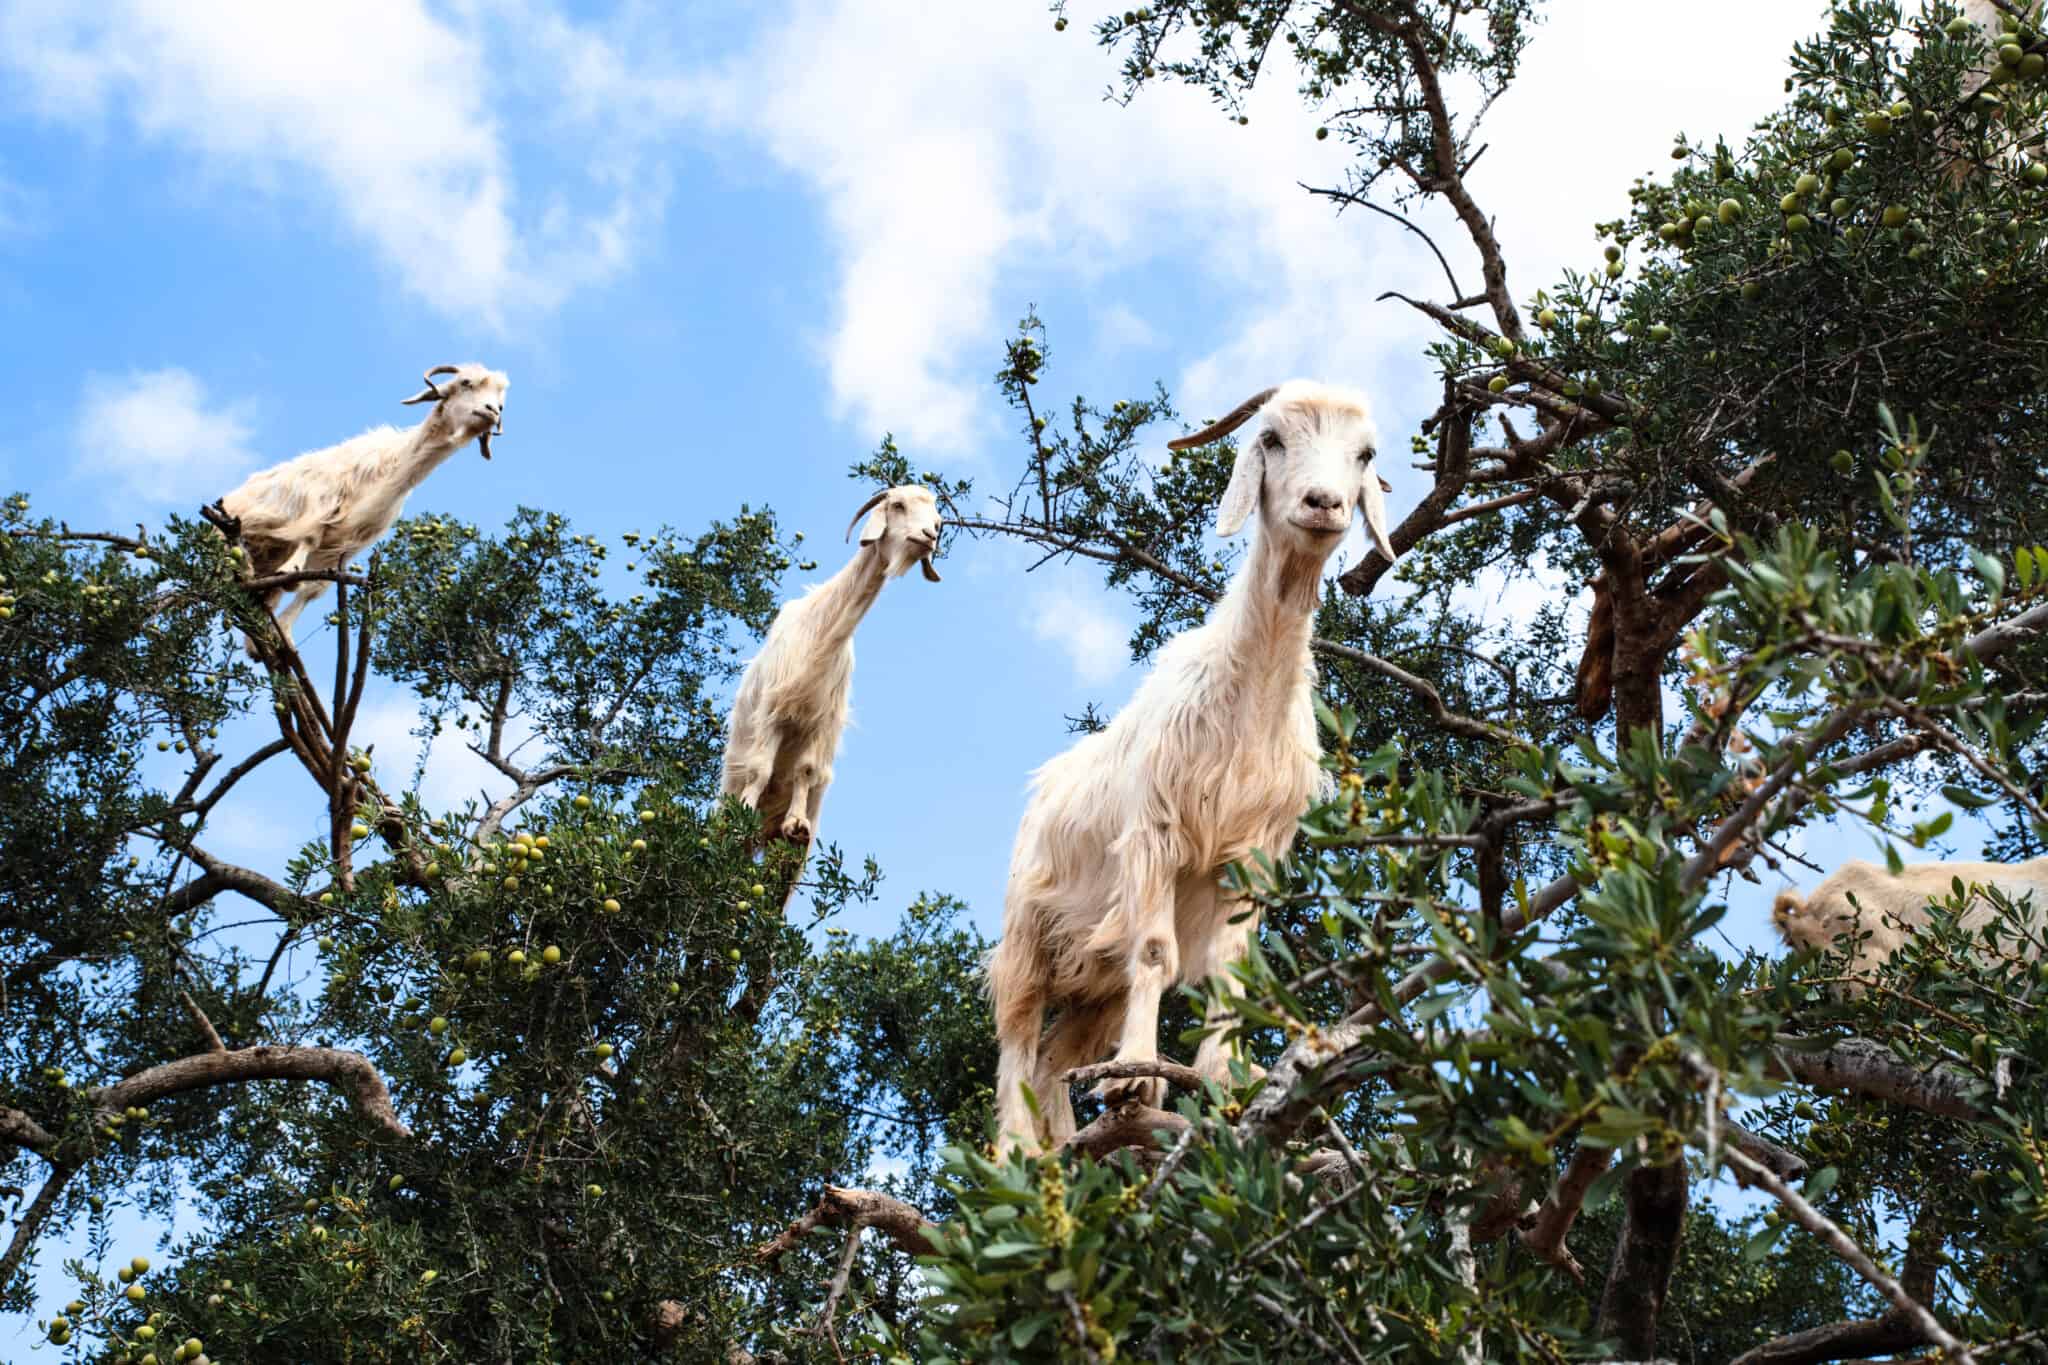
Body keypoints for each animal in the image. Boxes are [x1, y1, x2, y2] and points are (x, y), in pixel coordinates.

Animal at [210, 364, 506, 654]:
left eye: (501, 404)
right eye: (466, 382)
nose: (491, 411)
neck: (391, 469)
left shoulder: (347, 545)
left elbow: (313, 588)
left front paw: (283, 632)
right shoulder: (321, 503)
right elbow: (308, 538)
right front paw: (289, 571)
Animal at [718, 485, 942, 848]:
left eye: (937, 522)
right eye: (897, 505)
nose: (928, 536)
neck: (821, 632)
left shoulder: (819, 721)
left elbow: (806, 770)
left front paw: (796, 823)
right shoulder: (773, 709)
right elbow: (760, 768)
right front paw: (744, 811)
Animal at [986, 381, 1397, 1152]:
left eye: (1364, 454)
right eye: (1271, 439)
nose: (1324, 503)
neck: (1246, 700)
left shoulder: (1253, 855)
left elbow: (1230, 973)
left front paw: (1220, 1079)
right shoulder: (1154, 835)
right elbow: (1156, 952)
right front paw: (1137, 1080)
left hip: (1097, 976)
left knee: (1056, 1057)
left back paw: (1069, 1149)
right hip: (1027, 934)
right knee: (1018, 1041)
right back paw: (1019, 1150)